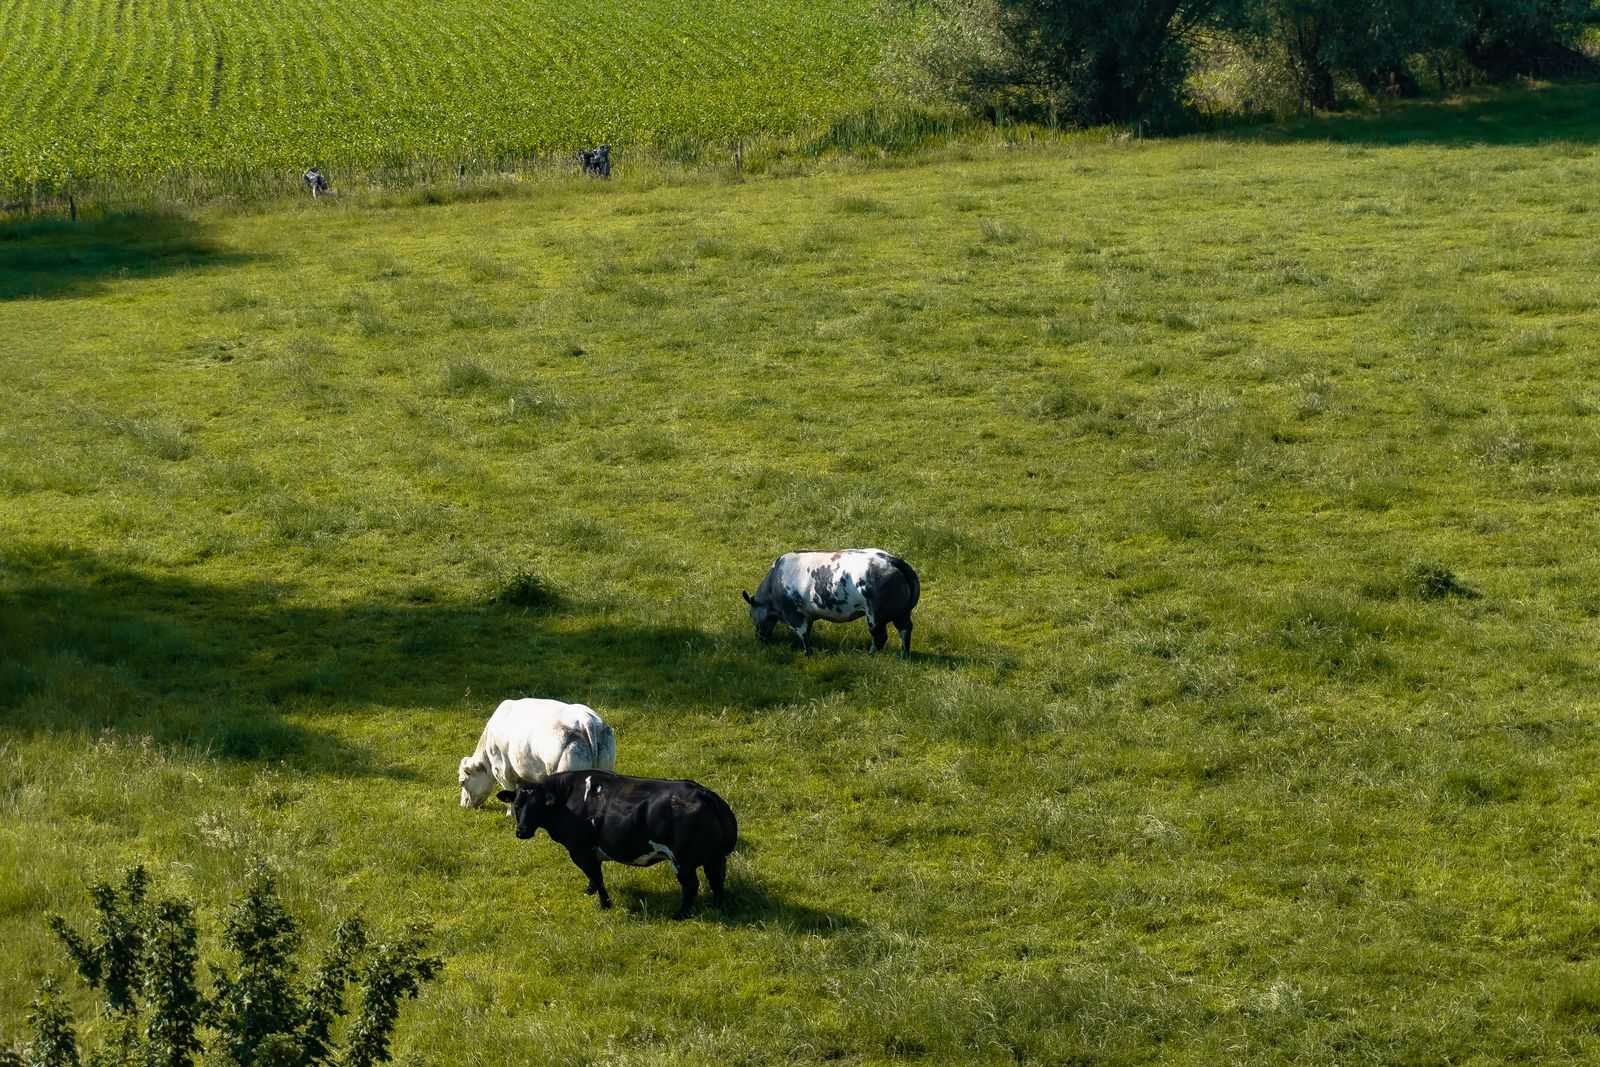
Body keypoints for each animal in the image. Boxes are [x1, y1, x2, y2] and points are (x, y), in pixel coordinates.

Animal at [497, 771, 736, 919]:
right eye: (517, 805)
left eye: (539, 806)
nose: (522, 831)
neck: (567, 798)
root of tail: (703, 793)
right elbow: (593, 876)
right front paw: (589, 891)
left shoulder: (580, 849)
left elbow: (596, 876)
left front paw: (605, 904)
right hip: (715, 857)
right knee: (717, 880)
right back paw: (717, 908)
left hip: (683, 862)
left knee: (691, 886)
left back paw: (680, 915)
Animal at [743, 548, 920, 657]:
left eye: (751, 614)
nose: (758, 637)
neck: (774, 581)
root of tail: (890, 559)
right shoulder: (808, 614)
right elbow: (807, 631)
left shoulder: (793, 614)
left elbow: (803, 633)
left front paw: (807, 653)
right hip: (902, 613)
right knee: (905, 630)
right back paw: (904, 654)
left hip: (874, 618)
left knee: (880, 637)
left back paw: (870, 654)